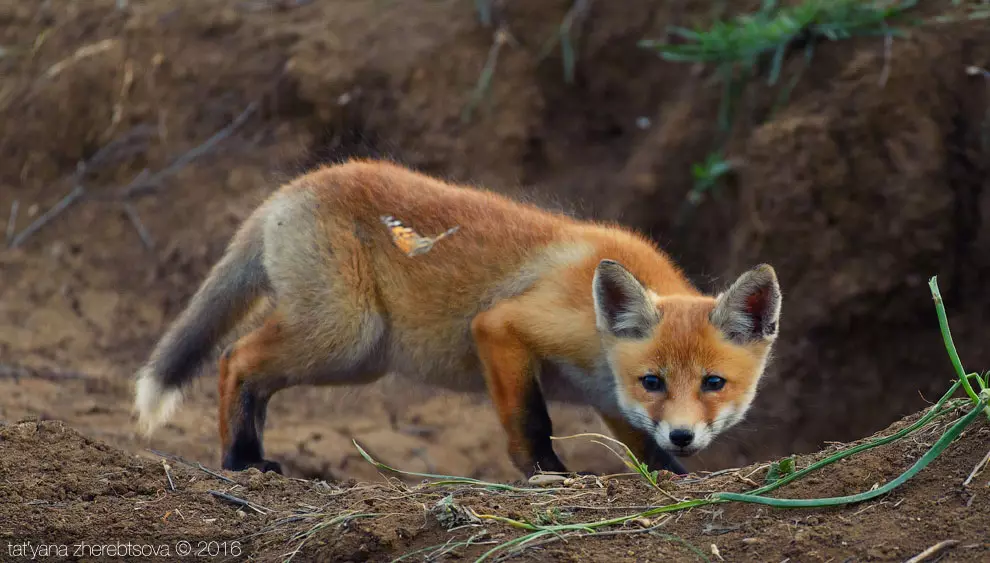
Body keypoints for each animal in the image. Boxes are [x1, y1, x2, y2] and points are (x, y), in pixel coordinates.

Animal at [134, 161, 784, 478]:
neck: (597, 333)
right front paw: (548, 474)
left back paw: (250, 455)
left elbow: (646, 450)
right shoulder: (503, 327)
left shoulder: (609, 398)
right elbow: (531, 420)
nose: (684, 435)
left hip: (355, 357)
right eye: (654, 380)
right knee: (233, 358)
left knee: (251, 372)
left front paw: (675, 476)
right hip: (347, 337)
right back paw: (239, 460)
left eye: (713, 383)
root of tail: (294, 187)